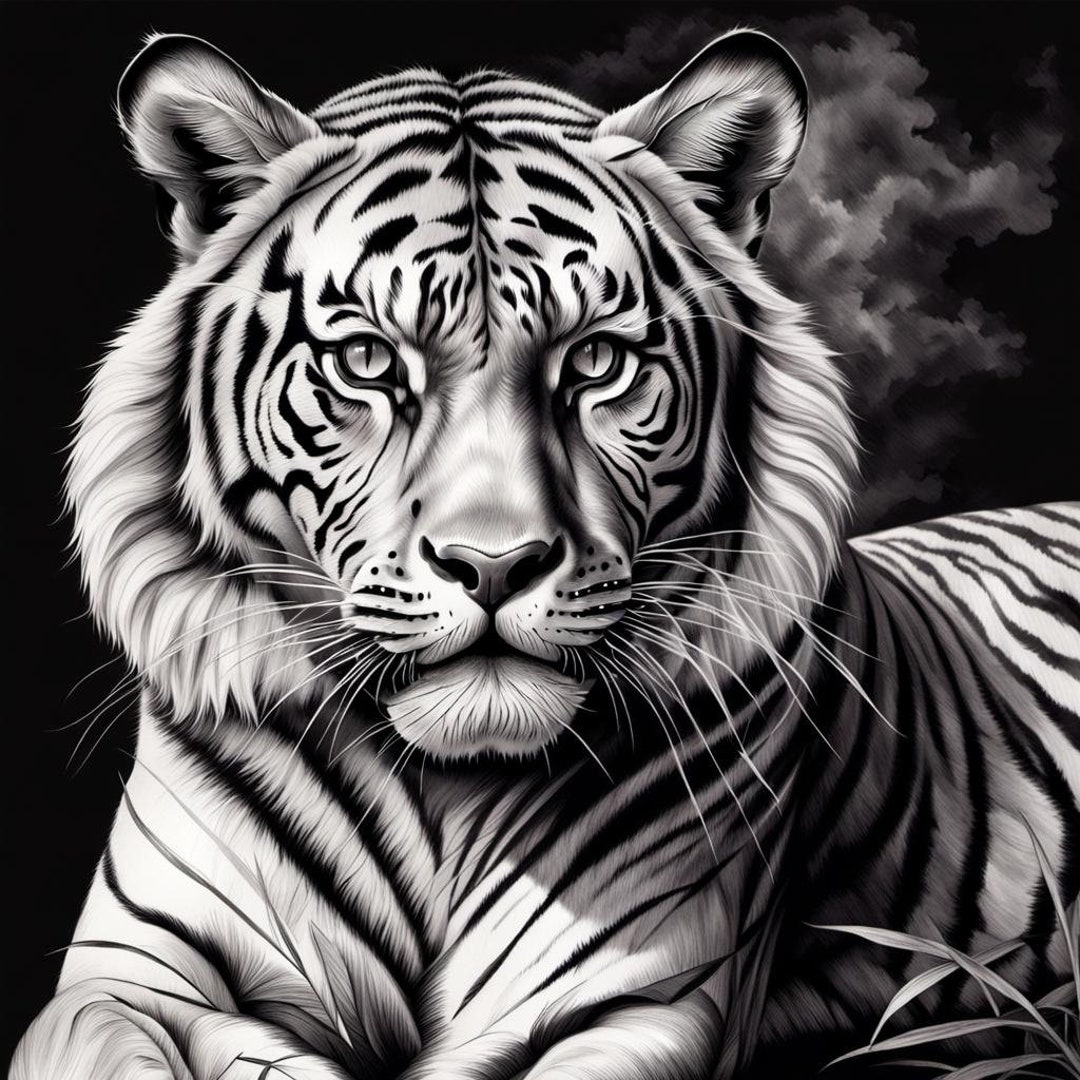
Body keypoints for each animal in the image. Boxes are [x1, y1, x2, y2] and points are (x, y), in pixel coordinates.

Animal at [13, 27, 1080, 1080]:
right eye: (367, 362)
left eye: (596, 362)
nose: (494, 566)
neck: (445, 794)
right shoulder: (122, 977)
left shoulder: (639, 1003)